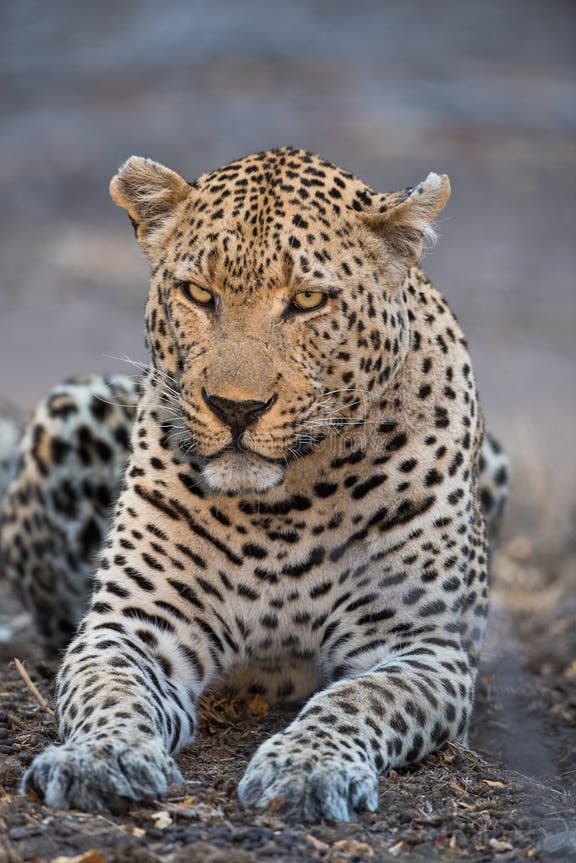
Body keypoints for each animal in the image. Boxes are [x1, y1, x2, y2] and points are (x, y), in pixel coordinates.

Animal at [0, 147, 510, 822]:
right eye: (198, 292)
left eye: (308, 300)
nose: (235, 409)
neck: (286, 504)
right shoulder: (133, 625)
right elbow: (110, 691)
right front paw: (99, 756)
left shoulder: (423, 645)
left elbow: (357, 700)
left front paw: (307, 766)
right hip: (65, 413)